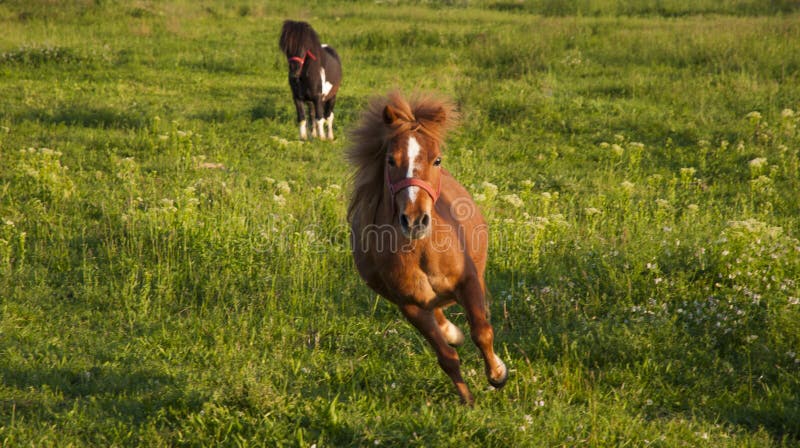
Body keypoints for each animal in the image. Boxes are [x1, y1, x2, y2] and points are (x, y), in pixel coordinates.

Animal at [346, 92, 508, 405]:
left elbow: (482, 332)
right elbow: (446, 357)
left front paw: (497, 374)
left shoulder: (468, 281)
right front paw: (468, 402)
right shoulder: (410, 306)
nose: (414, 220)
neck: (422, 250)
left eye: (437, 160)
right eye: (390, 160)